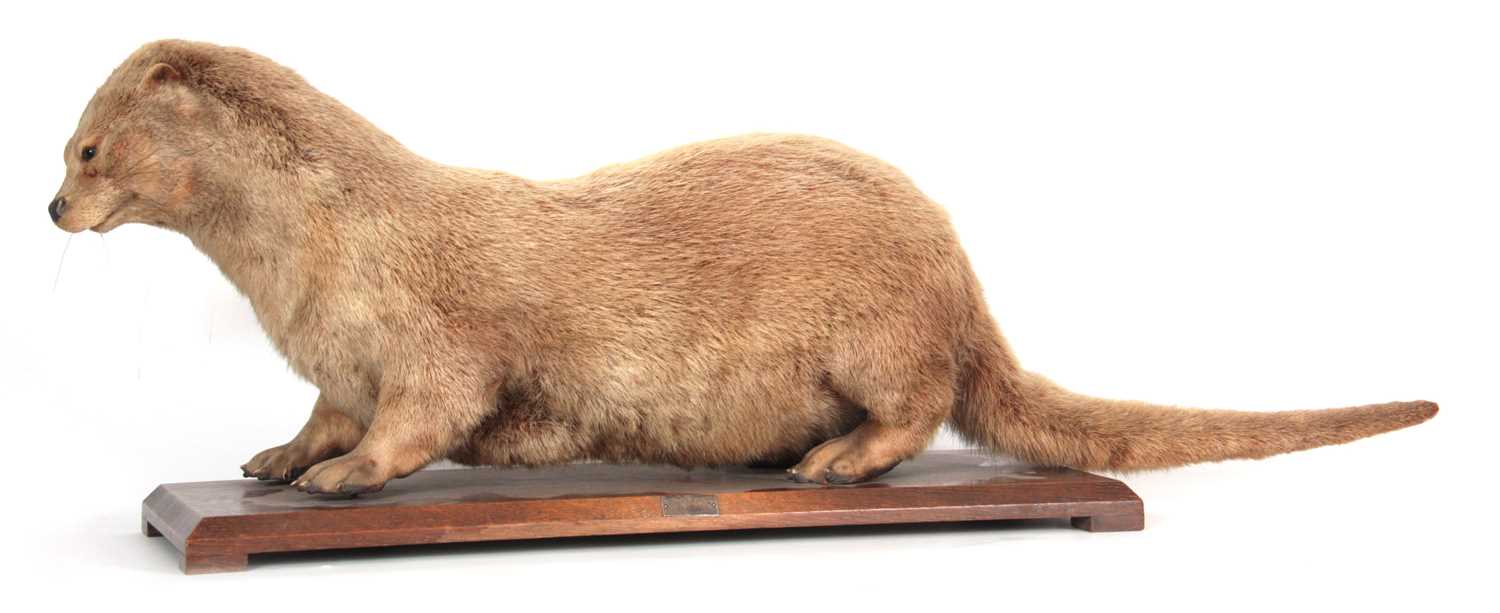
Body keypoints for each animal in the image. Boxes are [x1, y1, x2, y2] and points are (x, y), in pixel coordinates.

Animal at [50, 40, 1435, 496]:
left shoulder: (435, 343)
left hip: (882, 327)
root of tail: (962, 278)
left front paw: (345, 481)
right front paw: (279, 463)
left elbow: (422, 418)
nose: (54, 205)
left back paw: (837, 464)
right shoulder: (339, 360)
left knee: (924, 405)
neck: (332, 237)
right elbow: (324, 413)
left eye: (86, 143)